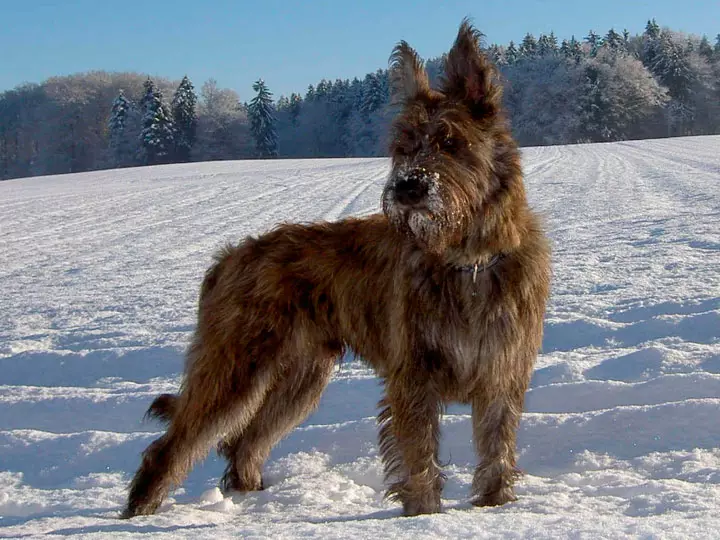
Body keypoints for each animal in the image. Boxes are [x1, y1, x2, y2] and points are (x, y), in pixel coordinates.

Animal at [122, 20, 552, 520]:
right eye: (403, 146)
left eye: (450, 142)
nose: (408, 188)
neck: (467, 261)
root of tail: (228, 257)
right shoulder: (413, 377)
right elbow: (419, 457)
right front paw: (423, 516)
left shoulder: (502, 372)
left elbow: (496, 448)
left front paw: (496, 506)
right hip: (235, 366)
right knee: (175, 444)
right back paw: (139, 513)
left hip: (300, 377)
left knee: (245, 440)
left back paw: (253, 498)